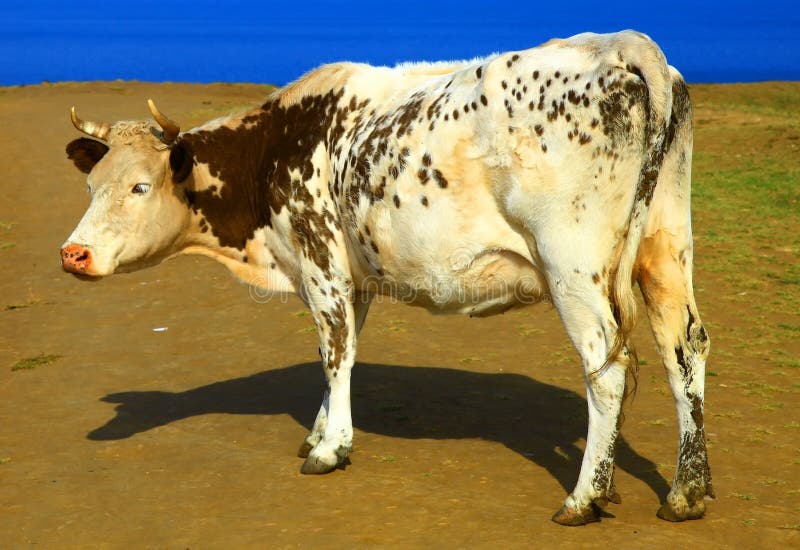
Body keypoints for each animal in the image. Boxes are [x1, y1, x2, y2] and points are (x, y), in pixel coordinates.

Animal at [61, 30, 712, 525]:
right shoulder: (355, 277)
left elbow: (334, 352)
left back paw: (584, 497)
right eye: (92, 185)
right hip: (665, 248)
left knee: (607, 367)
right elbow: (344, 349)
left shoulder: (319, 259)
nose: (74, 254)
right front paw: (321, 430)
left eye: (140, 186)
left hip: (572, 266)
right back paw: (687, 491)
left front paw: (329, 449)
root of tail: (616, 44)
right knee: (684, 347)